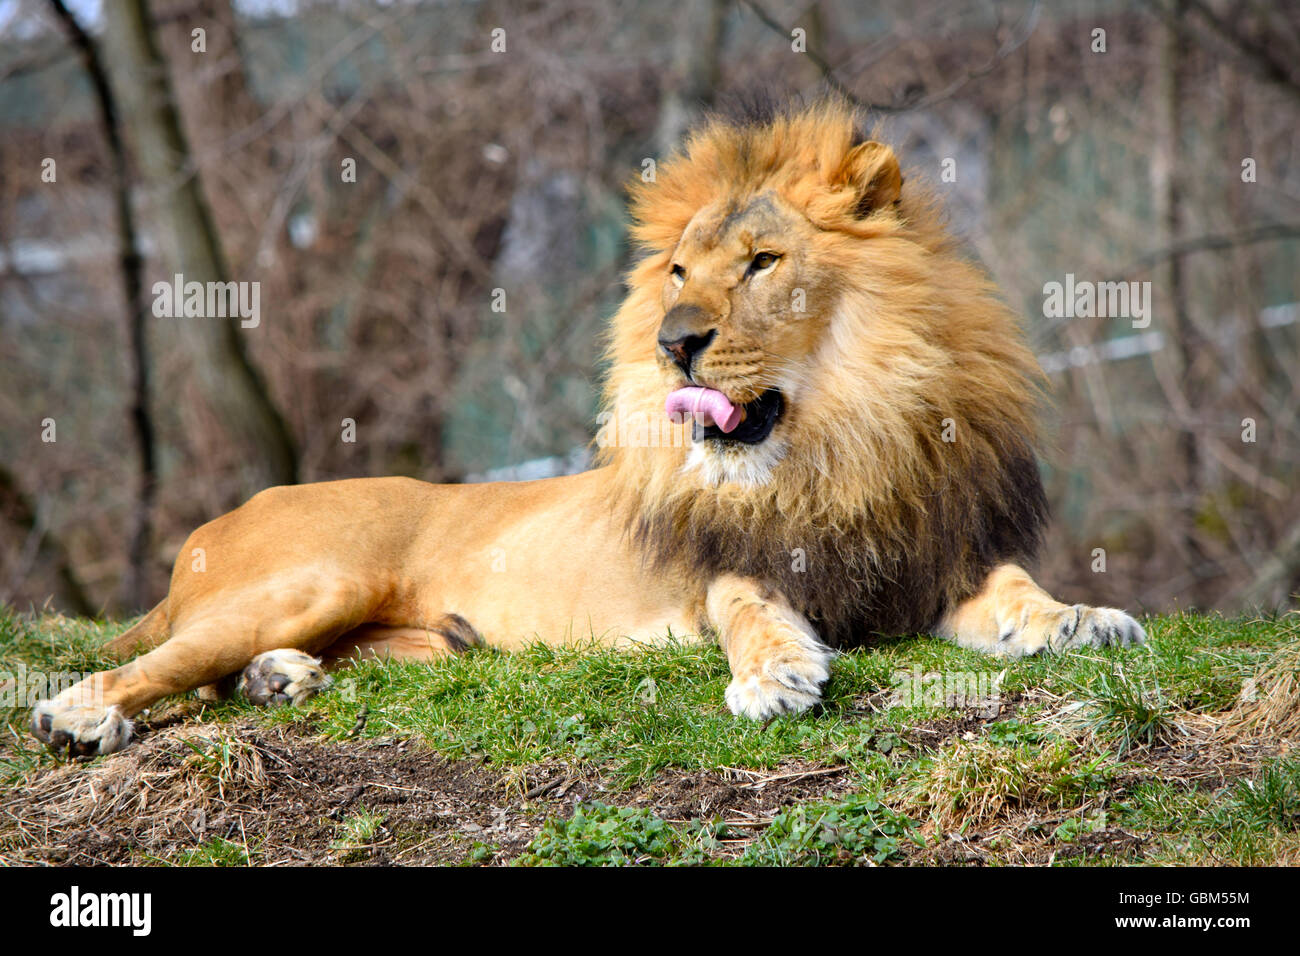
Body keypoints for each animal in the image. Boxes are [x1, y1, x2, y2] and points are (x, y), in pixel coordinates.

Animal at [31, 97, 1144, 756]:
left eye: (763, 262)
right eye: (680, 271)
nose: (674, 341)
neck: (838, 442)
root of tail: (212, 526)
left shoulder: (937, 554)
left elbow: (1015, 587)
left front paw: (1079, 617)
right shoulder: (717, 572)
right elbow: (748, 602)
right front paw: (774, 673)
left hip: (417, 641)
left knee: (239, 670)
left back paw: (278, 679)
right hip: (312, 578)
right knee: (157, 663)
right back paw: (81, 711)